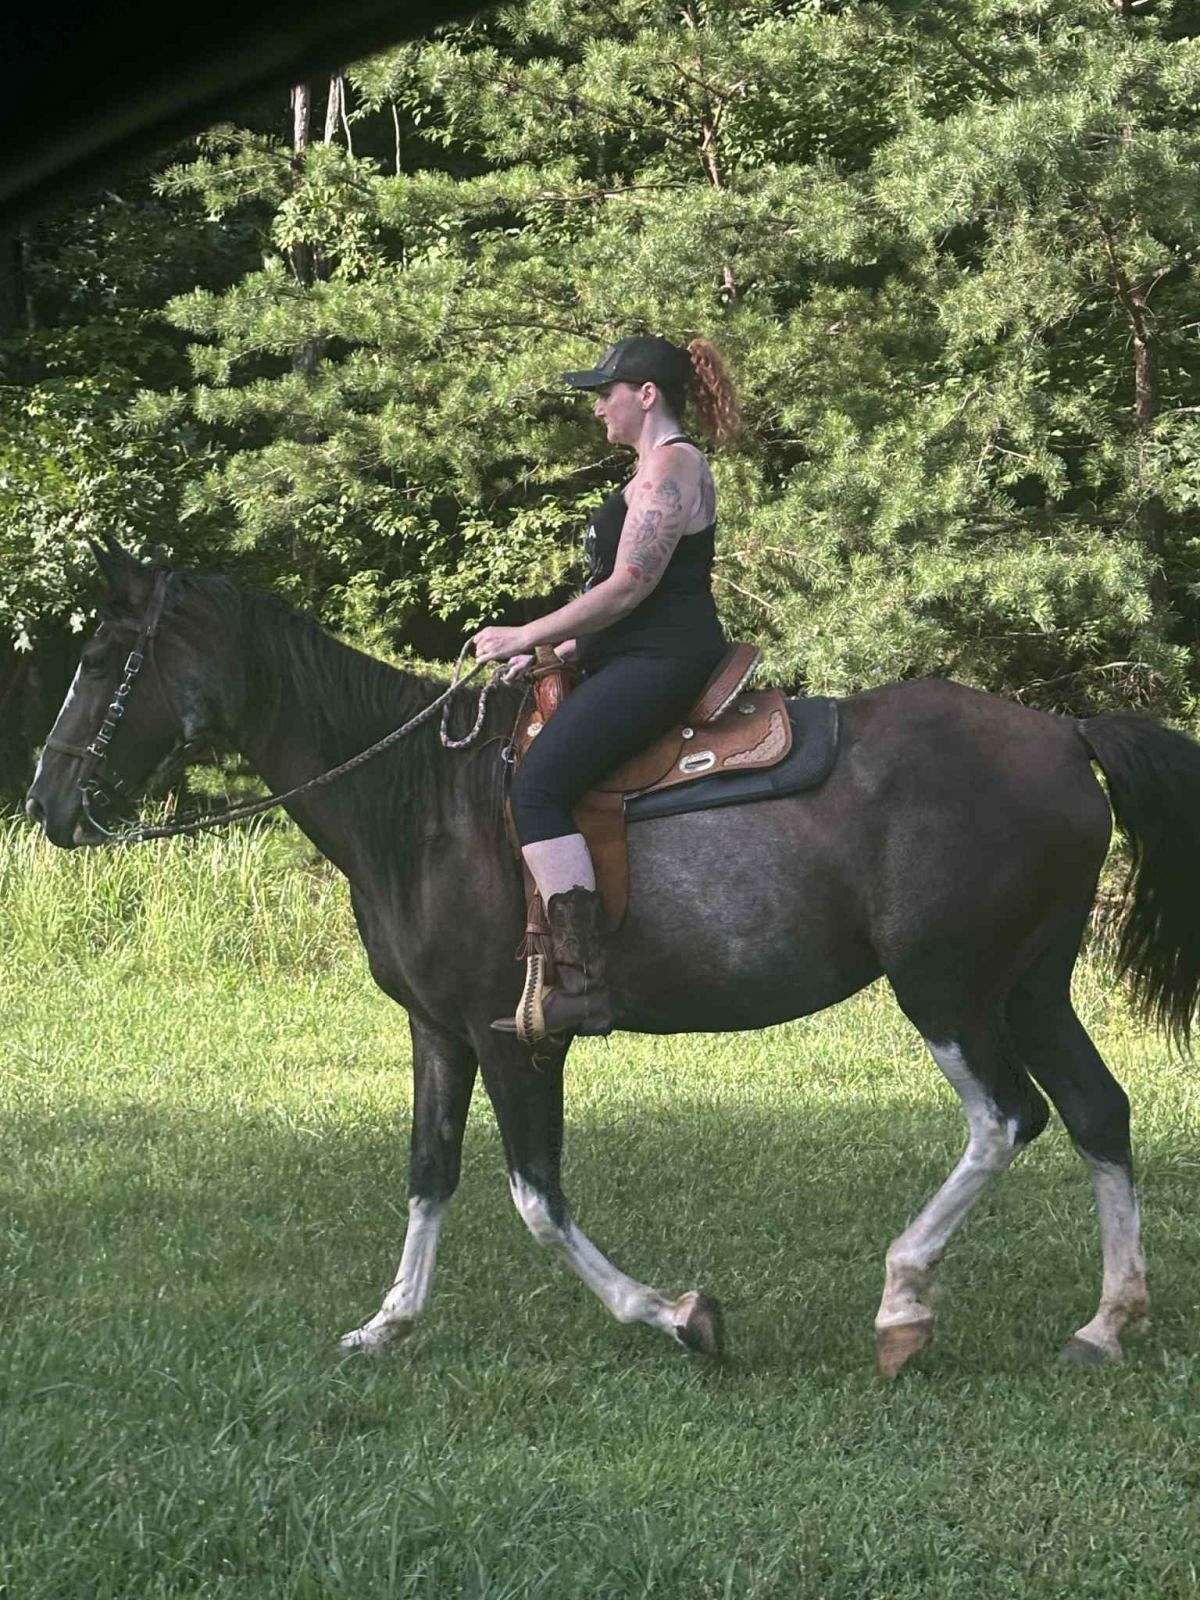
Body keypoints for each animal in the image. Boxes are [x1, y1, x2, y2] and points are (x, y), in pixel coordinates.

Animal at [25, 539, 1200, 1375]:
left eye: (100, 661)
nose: (44, 802)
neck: (424, 804)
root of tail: (1062, 735)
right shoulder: (438, 1031)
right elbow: (427, 1171)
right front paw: (389, 1323)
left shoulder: (514, 1038)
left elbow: (537, 1198)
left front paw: (677, 1315)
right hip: (1031, 983)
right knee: (1097, 1111)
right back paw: (1106, 1322)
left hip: (947, 988)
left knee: (1007, 1118)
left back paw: (903, 1300)